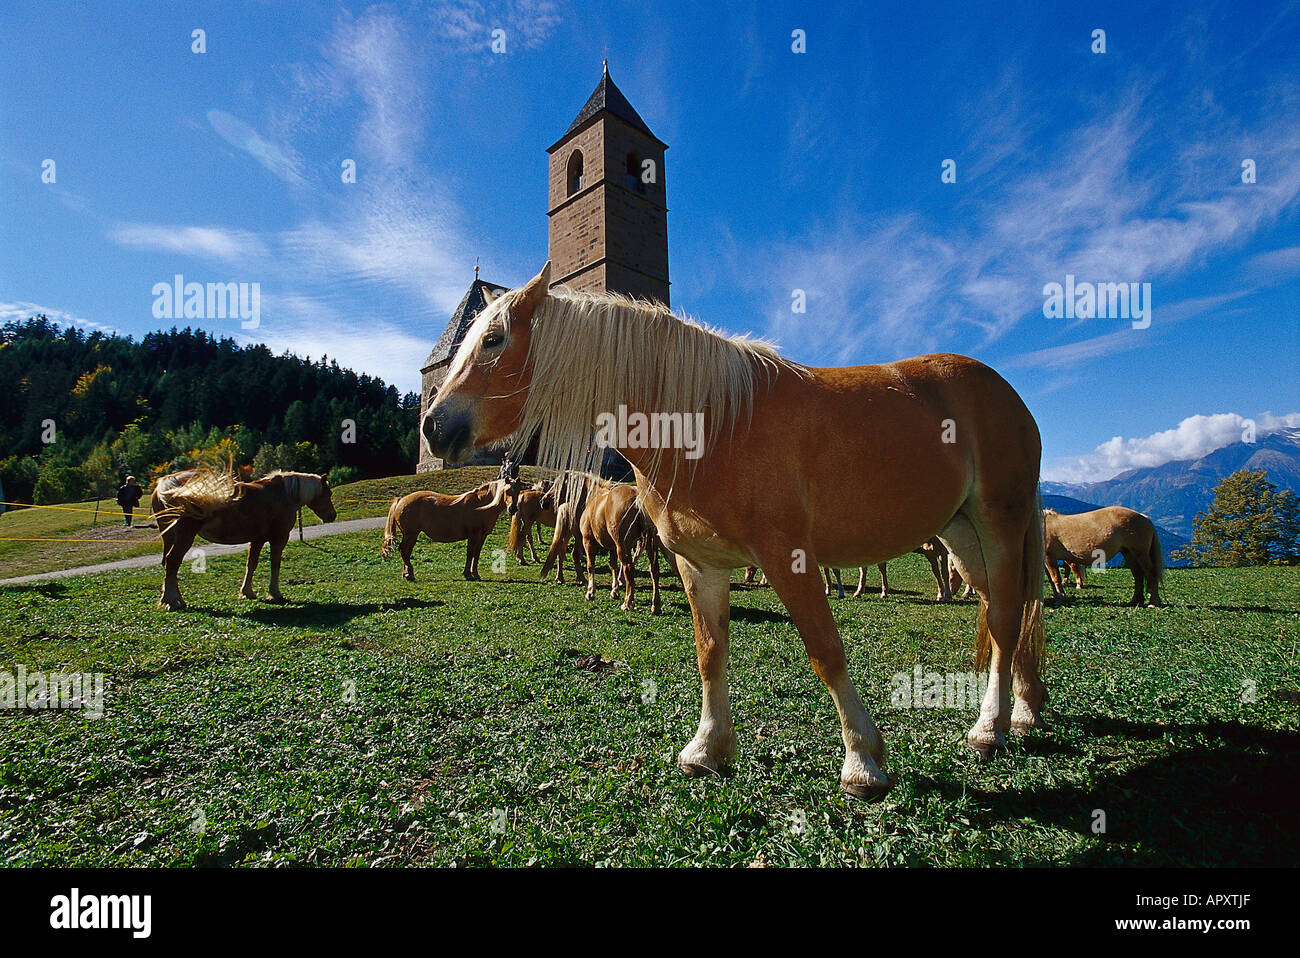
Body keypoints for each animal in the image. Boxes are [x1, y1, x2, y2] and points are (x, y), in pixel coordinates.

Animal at [152, 469, 336, 612]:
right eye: (328, 493)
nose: (332, 515)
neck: (284, 494)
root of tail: (169, 482)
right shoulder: (279, 538)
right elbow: (275, 564)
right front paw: (275, 593)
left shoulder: (257, 540)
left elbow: (251, 564)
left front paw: (247, 592)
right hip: (185, 536)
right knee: (173, 561)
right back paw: (173, 602)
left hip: (169, 537)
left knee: (168, 564)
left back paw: (174, 600)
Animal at [380, 480, 510, 581]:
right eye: (507, 491)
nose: (512, 508)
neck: (481, 505)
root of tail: (401, 500)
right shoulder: (473, 536)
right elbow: (470, 553)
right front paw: (468, 574)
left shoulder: (482, 536)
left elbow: (476, 554)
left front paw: (475, 574)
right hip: (410, 534)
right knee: (403, 550)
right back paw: (409, 573)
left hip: (411, 536)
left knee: (406, 551)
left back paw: (406, 573)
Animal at [422, 263, 1046, 800]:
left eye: (494, 339)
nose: (433, 426)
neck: (710, 424)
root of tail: (1005, 391)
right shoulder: (701, 564)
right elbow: (710, 651)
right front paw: (708, 749)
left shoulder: (788, 557)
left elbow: (825, 651)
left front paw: (862, 762)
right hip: (961, 536)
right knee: (1002, 611)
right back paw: (1022, 710)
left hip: (998, 522)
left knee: (1007, 615)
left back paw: (989, 729)